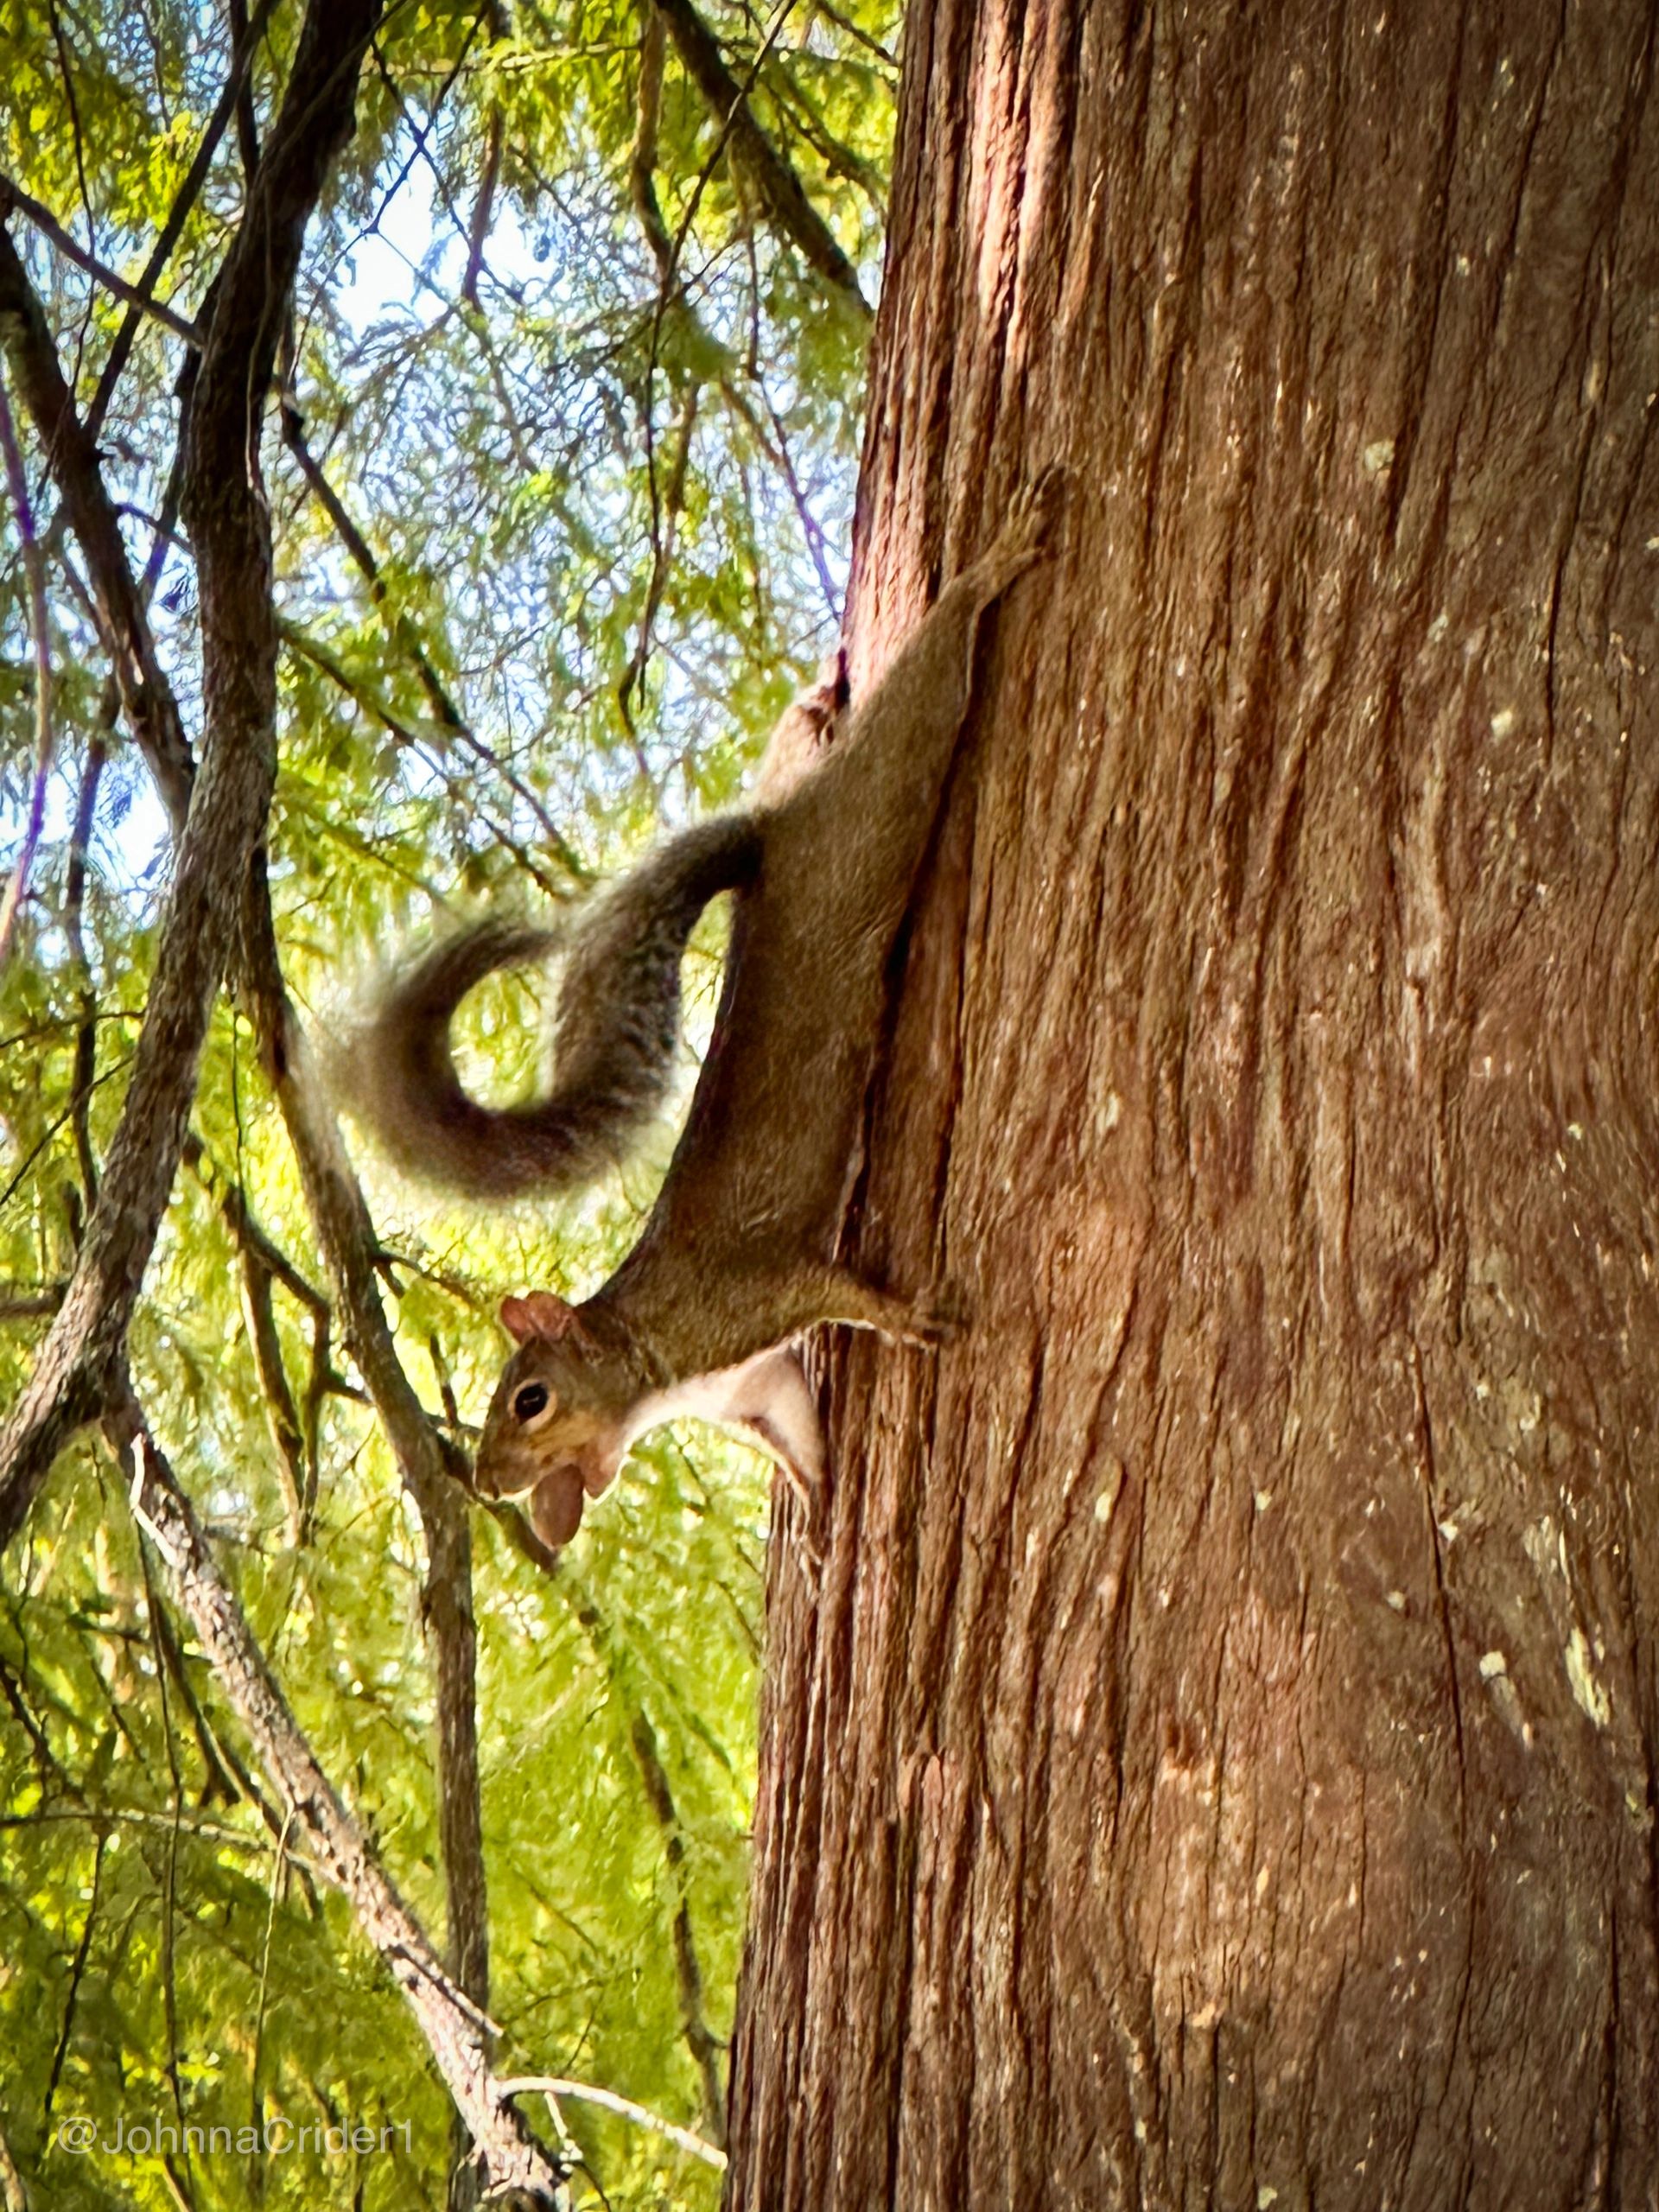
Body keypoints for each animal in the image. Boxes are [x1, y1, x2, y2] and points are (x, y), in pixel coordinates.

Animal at [336, 472, 1062, 1550]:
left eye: (530, 1399)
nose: (490, 1478)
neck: (649, 1367)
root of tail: (777, 826)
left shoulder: (743, 1302)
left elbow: (839, 1288)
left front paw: (909, 1317)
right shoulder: (753, 1390)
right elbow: (795, 1439)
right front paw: (818, 1512)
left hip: (873, 815)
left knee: (919, 707)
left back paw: (990, 570)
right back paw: (815, 706)